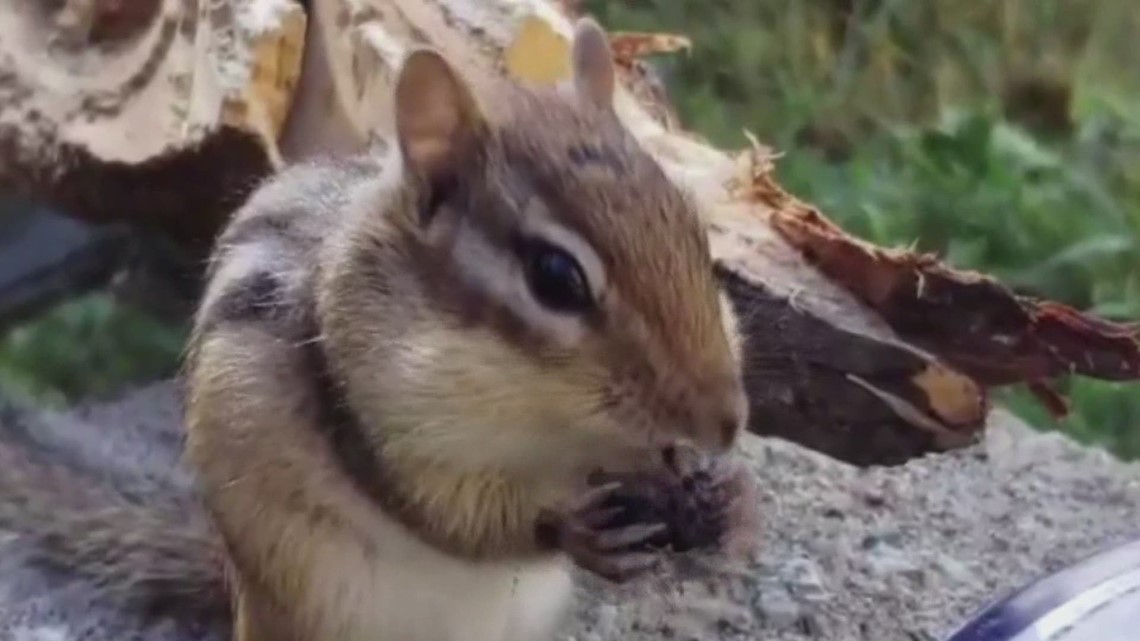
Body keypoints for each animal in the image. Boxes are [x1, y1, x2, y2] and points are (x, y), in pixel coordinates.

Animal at [0, 16, 757, 641]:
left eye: (696, 234)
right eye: (556, 278)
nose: (727, 421)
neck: (542, 417)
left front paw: (719, 493)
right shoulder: (372, 411)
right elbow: (451, 513)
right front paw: (568, 525)